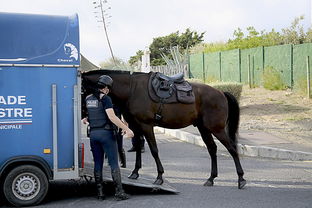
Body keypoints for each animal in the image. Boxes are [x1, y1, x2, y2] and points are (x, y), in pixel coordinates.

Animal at [82, 69, 246, 188]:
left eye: (81, 88)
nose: (84, 115)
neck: (131, 89)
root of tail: (221, 93)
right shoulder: (135, 126)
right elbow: (138, 148)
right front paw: (135, 172)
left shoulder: (146, 126)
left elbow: (154, 150)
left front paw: (159, 177)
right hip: (204, 128)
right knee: (212, 149)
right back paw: (211, 178)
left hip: (216, 128)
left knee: (232, 148)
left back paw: (241, 179)